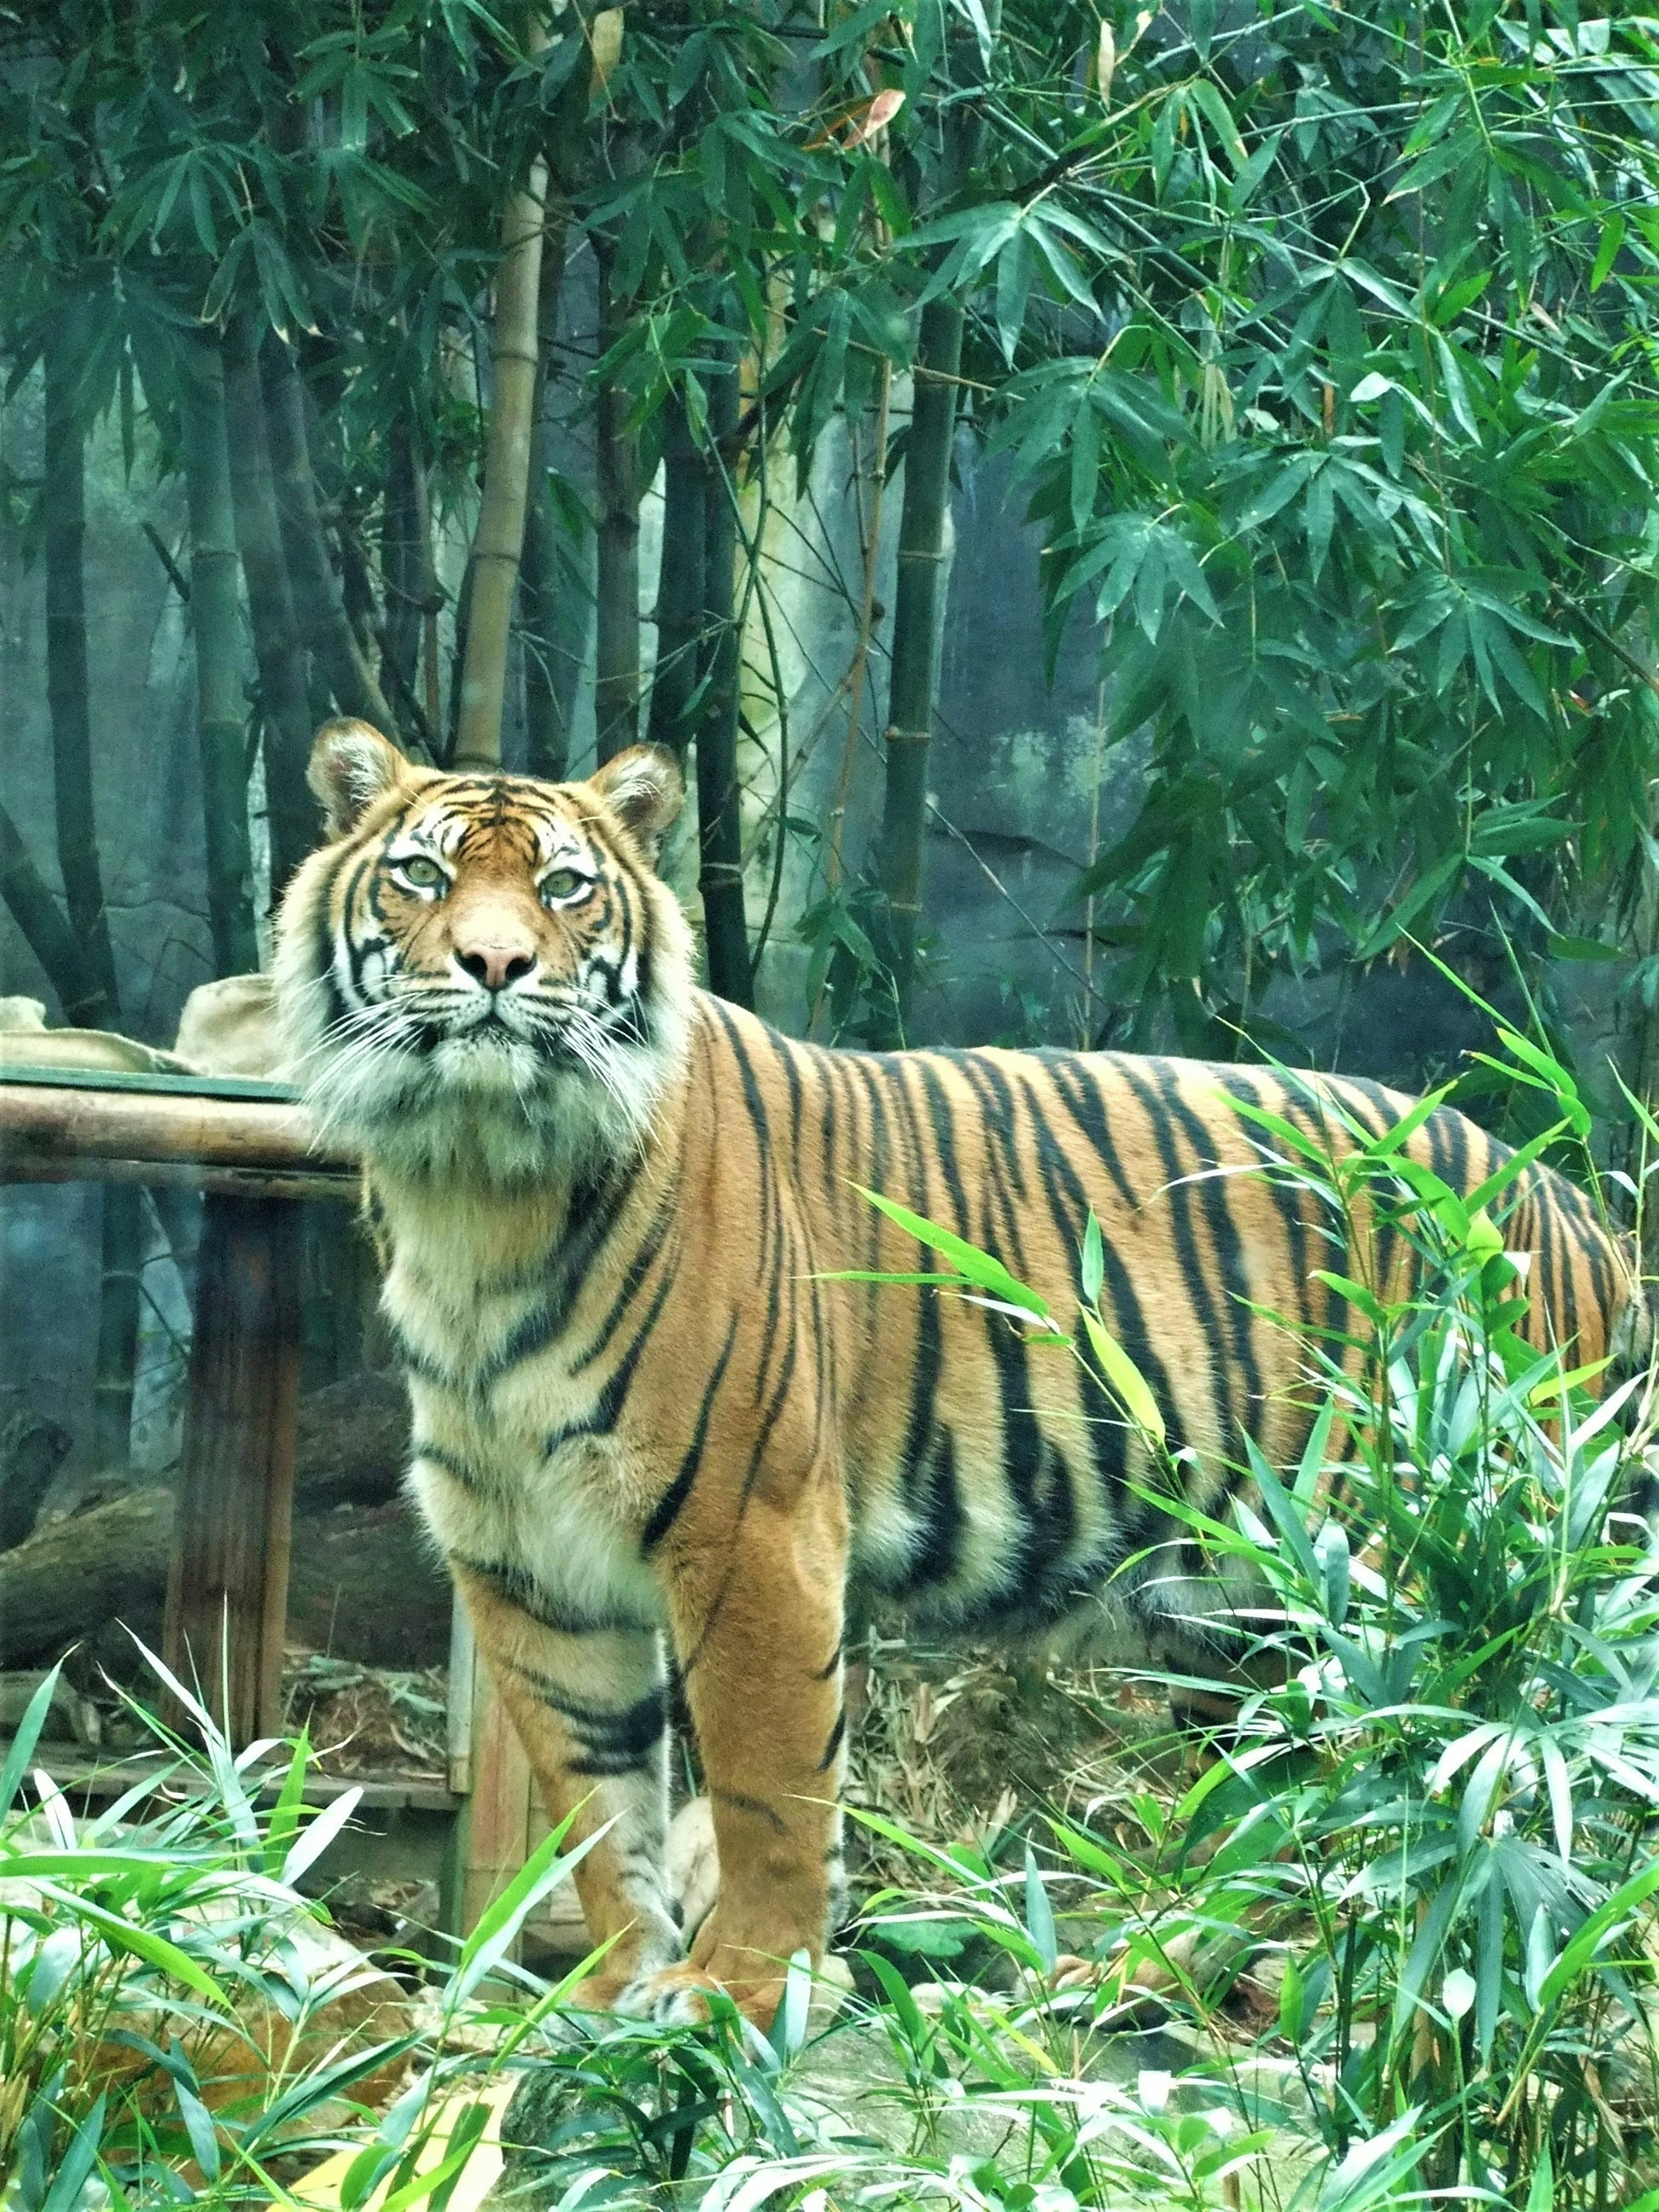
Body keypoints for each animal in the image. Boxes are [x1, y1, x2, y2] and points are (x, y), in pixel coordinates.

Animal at [273, 716, 1642, 2030]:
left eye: (564, 888)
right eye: (422, 875)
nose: (496, 967)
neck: (474, 1190)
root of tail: (1578, 1209)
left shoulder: (752, 1527)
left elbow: (769, 1790)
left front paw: (742, 1991)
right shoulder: (524, 1559)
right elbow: (595, 1809)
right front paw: (606, 1995)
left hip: (1435, 1578)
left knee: (1483, 1794)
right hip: (1257, 1615)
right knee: (1287, 1810)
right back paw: (1136, 1980)